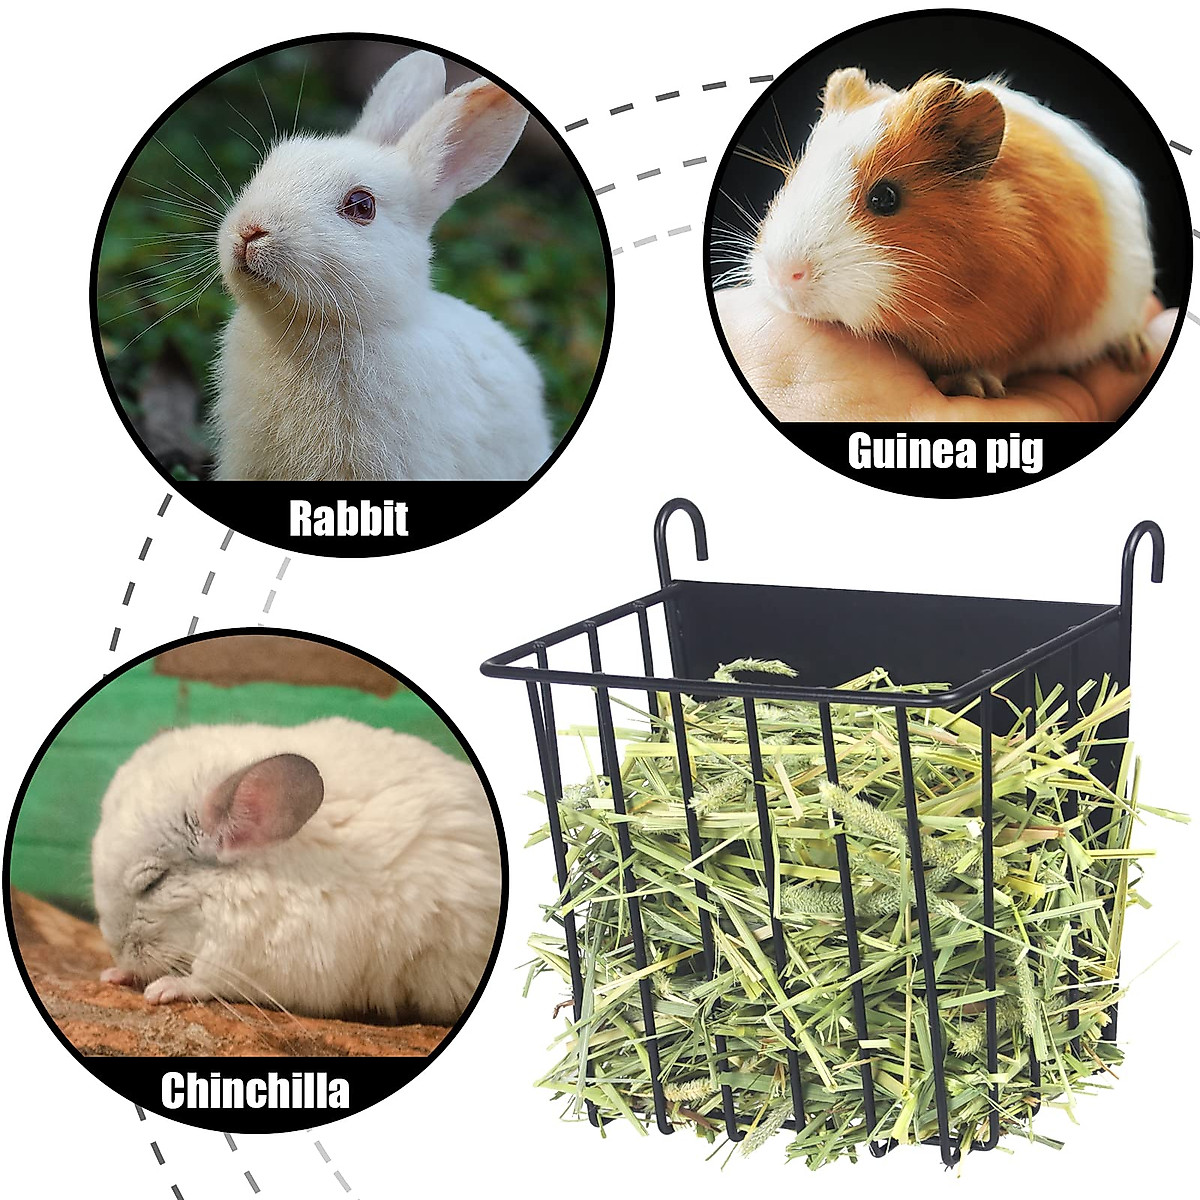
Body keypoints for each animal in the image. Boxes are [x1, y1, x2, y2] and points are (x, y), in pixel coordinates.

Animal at [91, 717, 503, 1024]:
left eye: (153, 883)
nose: (118, 954)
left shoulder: (263, 960)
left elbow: (205, 981)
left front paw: (162, 989)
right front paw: (113, 975)